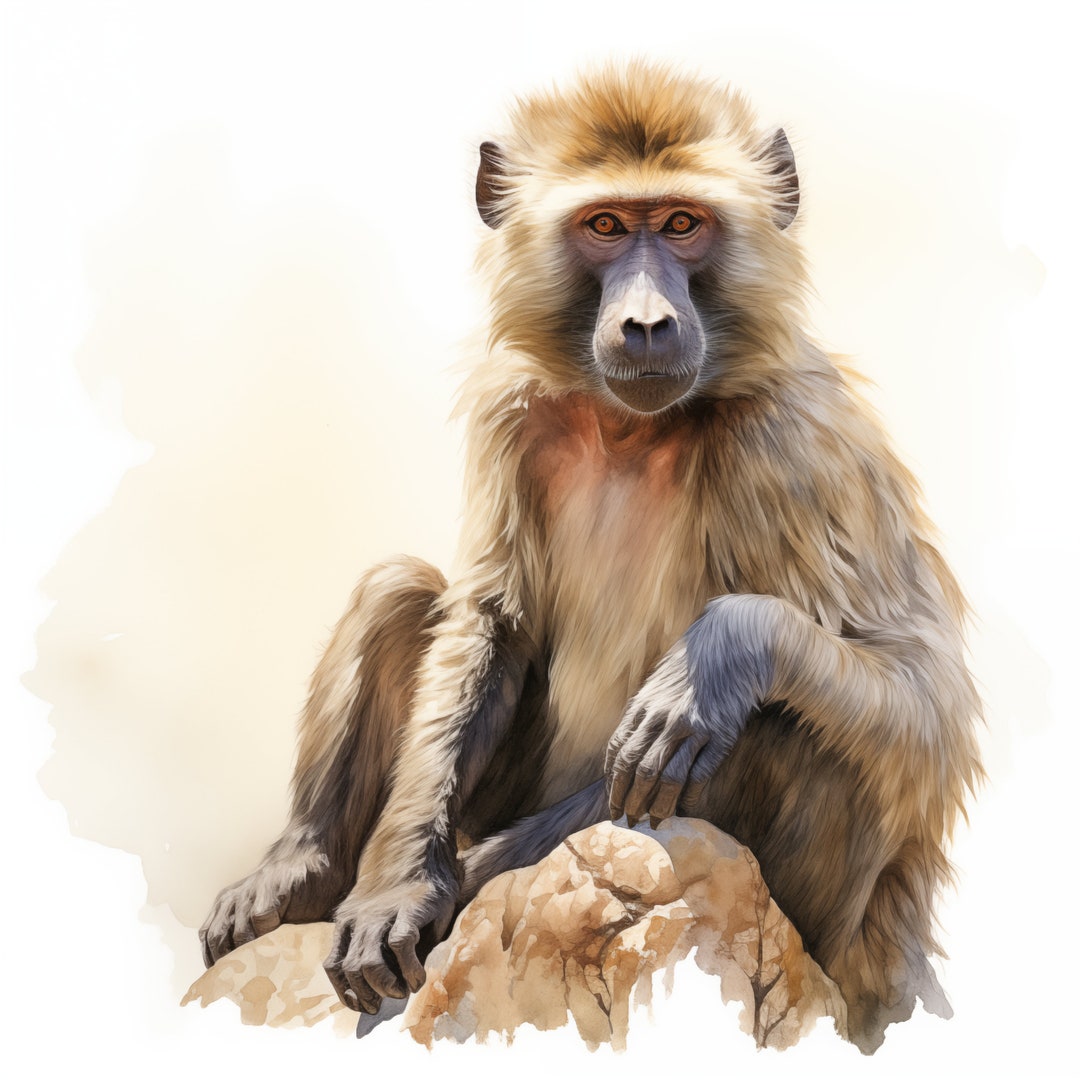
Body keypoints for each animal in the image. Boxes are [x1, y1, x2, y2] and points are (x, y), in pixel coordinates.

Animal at [200, 62, 982, 1054]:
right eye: (606, 226)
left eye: (682, 224)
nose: (646, 323)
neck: (630, 427)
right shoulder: (516, 412)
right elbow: (493, 618)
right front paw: (400, 885)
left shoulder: (795, 439)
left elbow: (925, 698)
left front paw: (717, 658)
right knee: (401, 588)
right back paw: (304, 869)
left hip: (834, 922)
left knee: (794, 723)